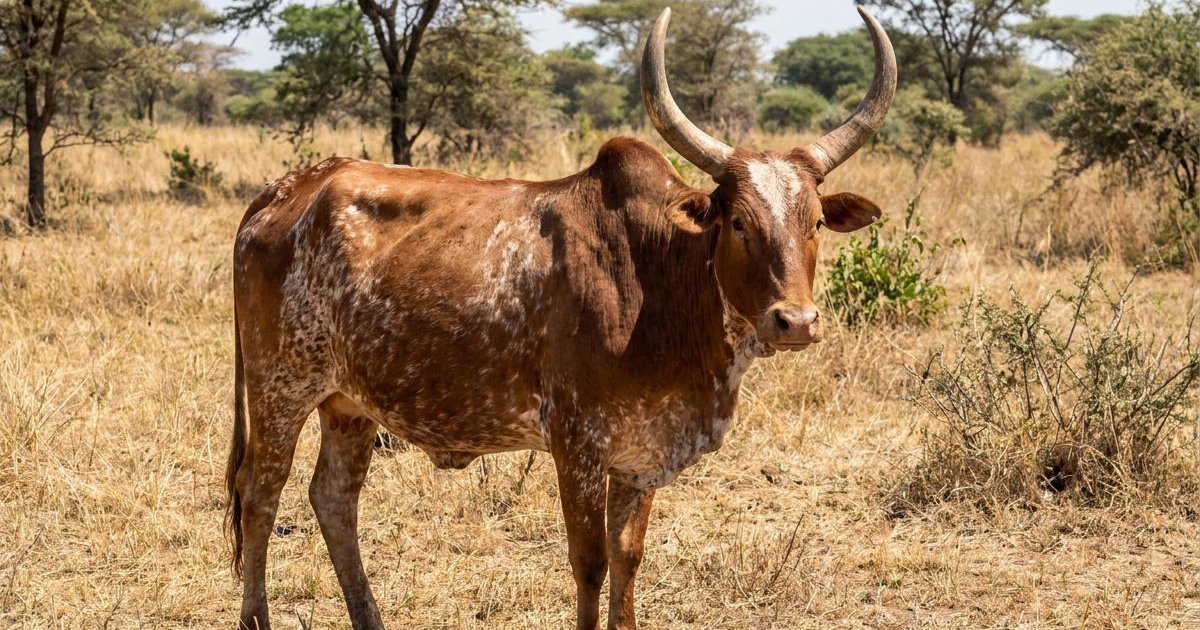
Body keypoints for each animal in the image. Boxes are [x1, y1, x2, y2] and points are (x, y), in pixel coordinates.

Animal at [226, 7, 895, 630]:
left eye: (815, 222)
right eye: (738, 223)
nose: (796, 321)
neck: (656, 279)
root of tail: (288, 189)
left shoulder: (639, 456)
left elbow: (628, 558)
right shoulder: (577, 445)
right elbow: (590, 562)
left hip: (349, 403)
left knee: (333, 498)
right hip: (280, 386)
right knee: (261, 494)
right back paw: (257, 617)